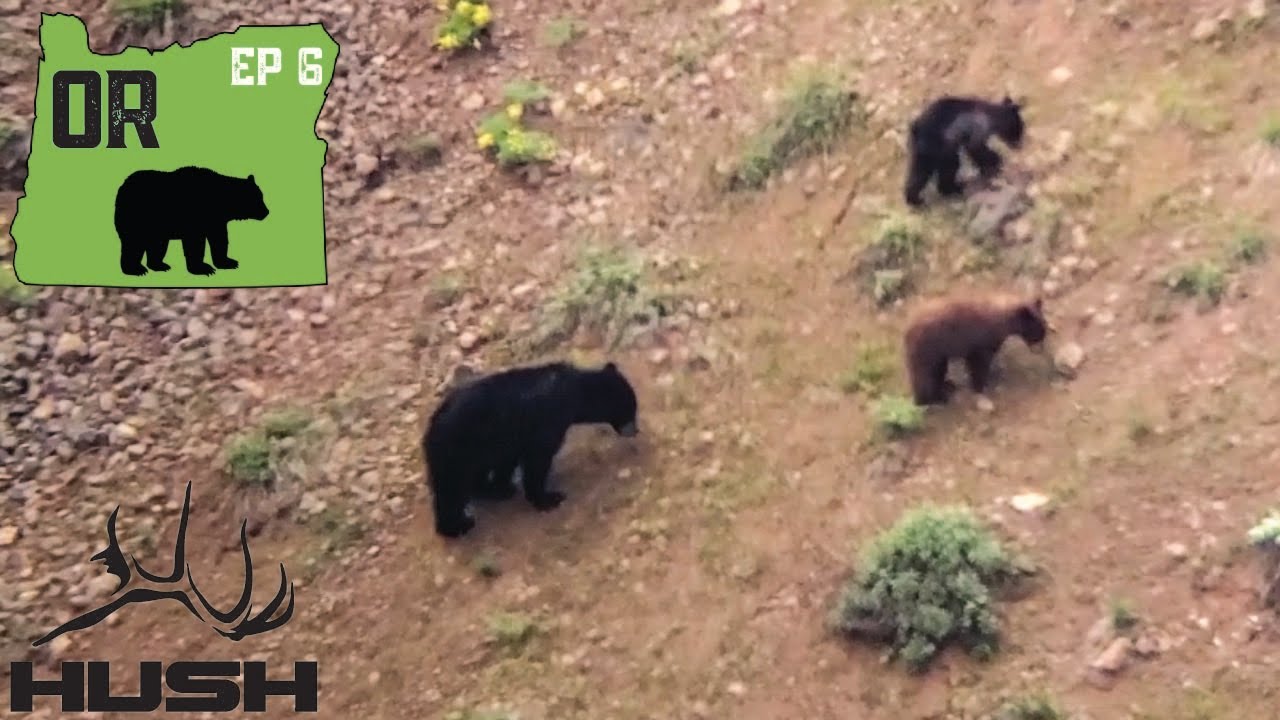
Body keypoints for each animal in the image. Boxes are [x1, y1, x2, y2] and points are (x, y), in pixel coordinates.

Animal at [113, 166, 269, 277]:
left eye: (261, 196)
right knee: (133, 243)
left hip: (157, 229)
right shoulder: (195, 216)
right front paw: (203, 268)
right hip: (136, 217)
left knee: (157, 245)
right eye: (257, 199)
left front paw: (228, 262)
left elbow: (219, 239)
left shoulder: (216, 221)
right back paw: (135, 269)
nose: (266, 212)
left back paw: (160, 265)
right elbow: (195, 242)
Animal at [421, 360, 640, 538]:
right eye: (631, 410)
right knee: (451, 489)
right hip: (456, 451)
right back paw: (458, 526)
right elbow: (538, 460)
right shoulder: (546, 422)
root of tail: (429, 431)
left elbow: (508, 461)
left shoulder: (511, 439)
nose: (636, 430)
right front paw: (549, 498)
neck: (575, 393)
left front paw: (503, 487)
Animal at [902, 291, 1048, 406]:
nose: (1041, 349)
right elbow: (979, 364)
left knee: (938, 371)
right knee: (924, 376)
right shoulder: (981, 340)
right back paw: (935, 399)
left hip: (937, 355)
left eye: (1043, 328)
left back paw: (947, 386)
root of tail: (908, 328)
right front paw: (980, 385)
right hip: (927, 349)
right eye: (1038, 331)